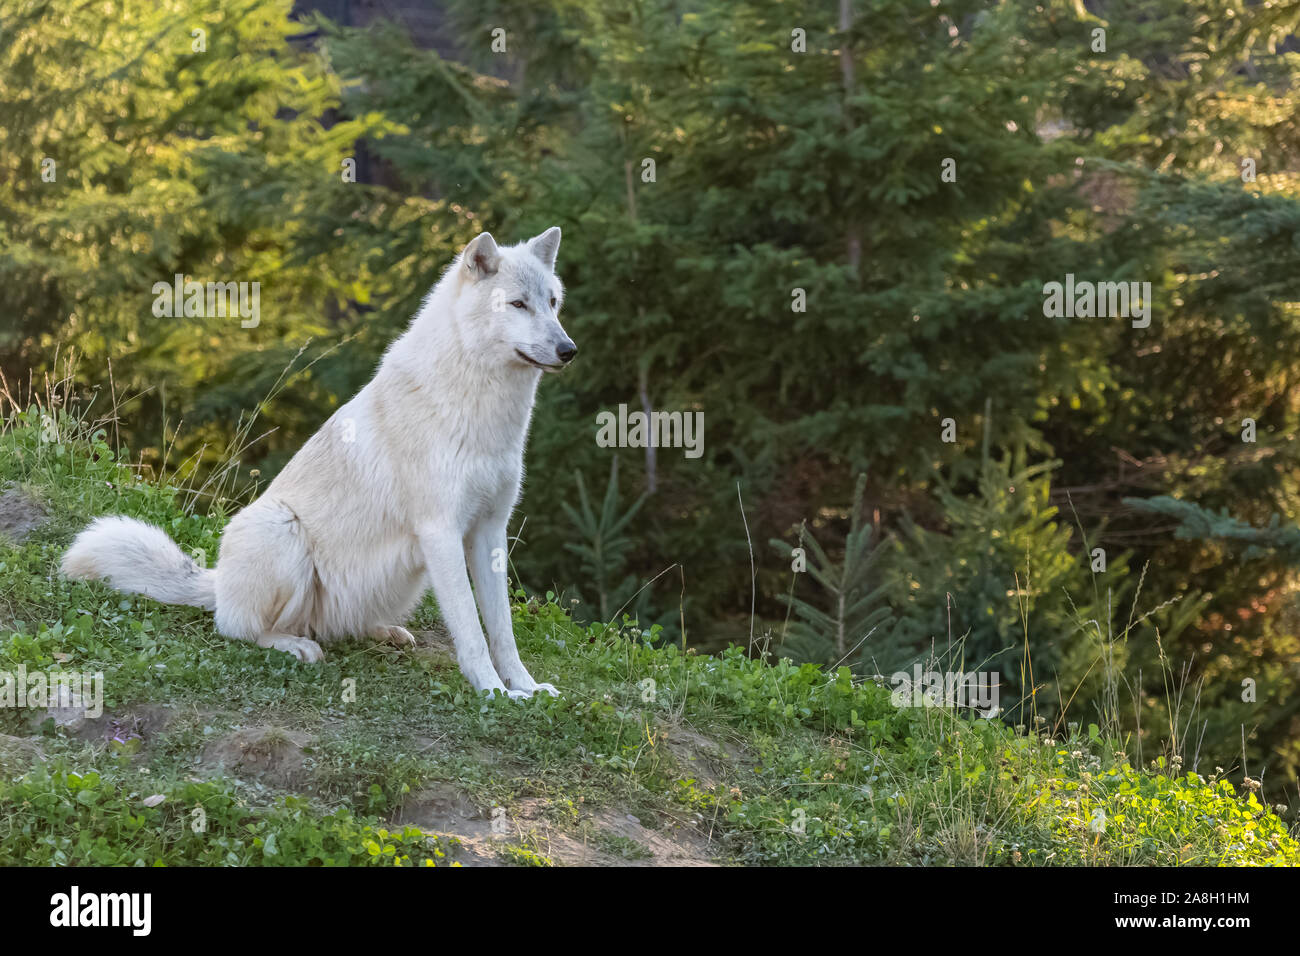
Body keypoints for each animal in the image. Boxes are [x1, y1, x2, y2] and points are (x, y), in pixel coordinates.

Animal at [62, 228, 575, 698]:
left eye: (552, 303)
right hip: (284, 533)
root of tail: (218, 583)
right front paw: (494, 693)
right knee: (240, 630)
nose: (569, 350)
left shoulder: (489, 531)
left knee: (342, 625)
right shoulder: (442, 531)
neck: (481, 409)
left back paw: (386, 633)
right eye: (517, 305)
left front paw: (527, 689)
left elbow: (503, 632)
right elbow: (471, 632)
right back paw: (295, 646)